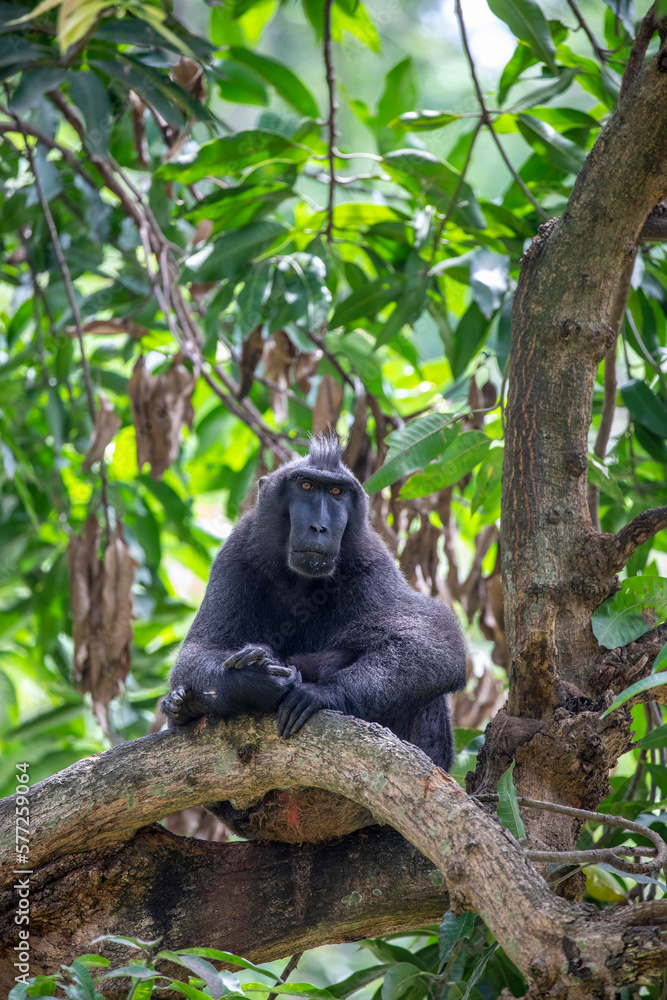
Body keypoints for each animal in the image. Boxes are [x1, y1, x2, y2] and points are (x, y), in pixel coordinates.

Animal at [162, 436, 467, 842]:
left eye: (336, 492)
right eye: (305, 486)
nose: (320, 527)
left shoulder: (369, 559)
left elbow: (438, 638)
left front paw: (319, 693)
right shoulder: (236, 552)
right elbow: (196, 652)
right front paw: (253, 682)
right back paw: (187, 708)